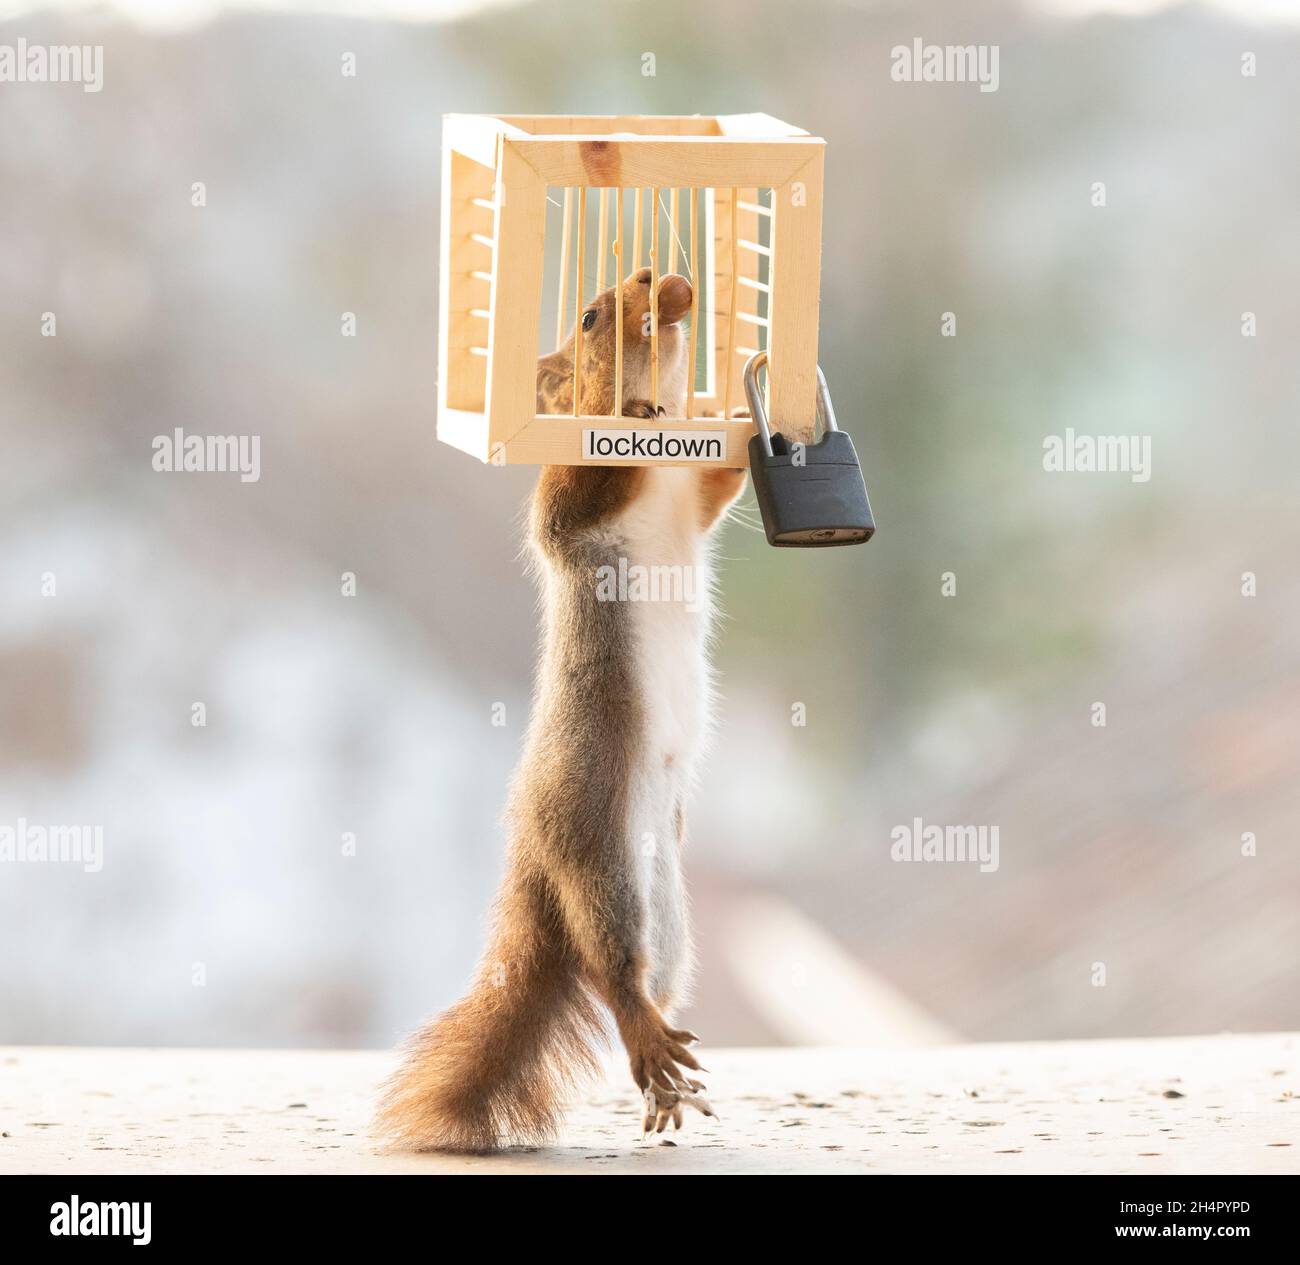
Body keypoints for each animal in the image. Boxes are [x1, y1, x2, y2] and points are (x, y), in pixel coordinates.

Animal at [376, 266, 747, 1151]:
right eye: (588, 317)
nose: (655, 278)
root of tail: (534, 852)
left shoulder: (694, 500)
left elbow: (719, 487)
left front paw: (746, 413)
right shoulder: (566, 503)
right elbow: (581, 486)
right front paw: (629, 410)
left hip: (665, 903)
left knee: (640, 982)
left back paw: (662, 1080)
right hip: (597, 837)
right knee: (611, 971)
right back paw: (648, 1045)